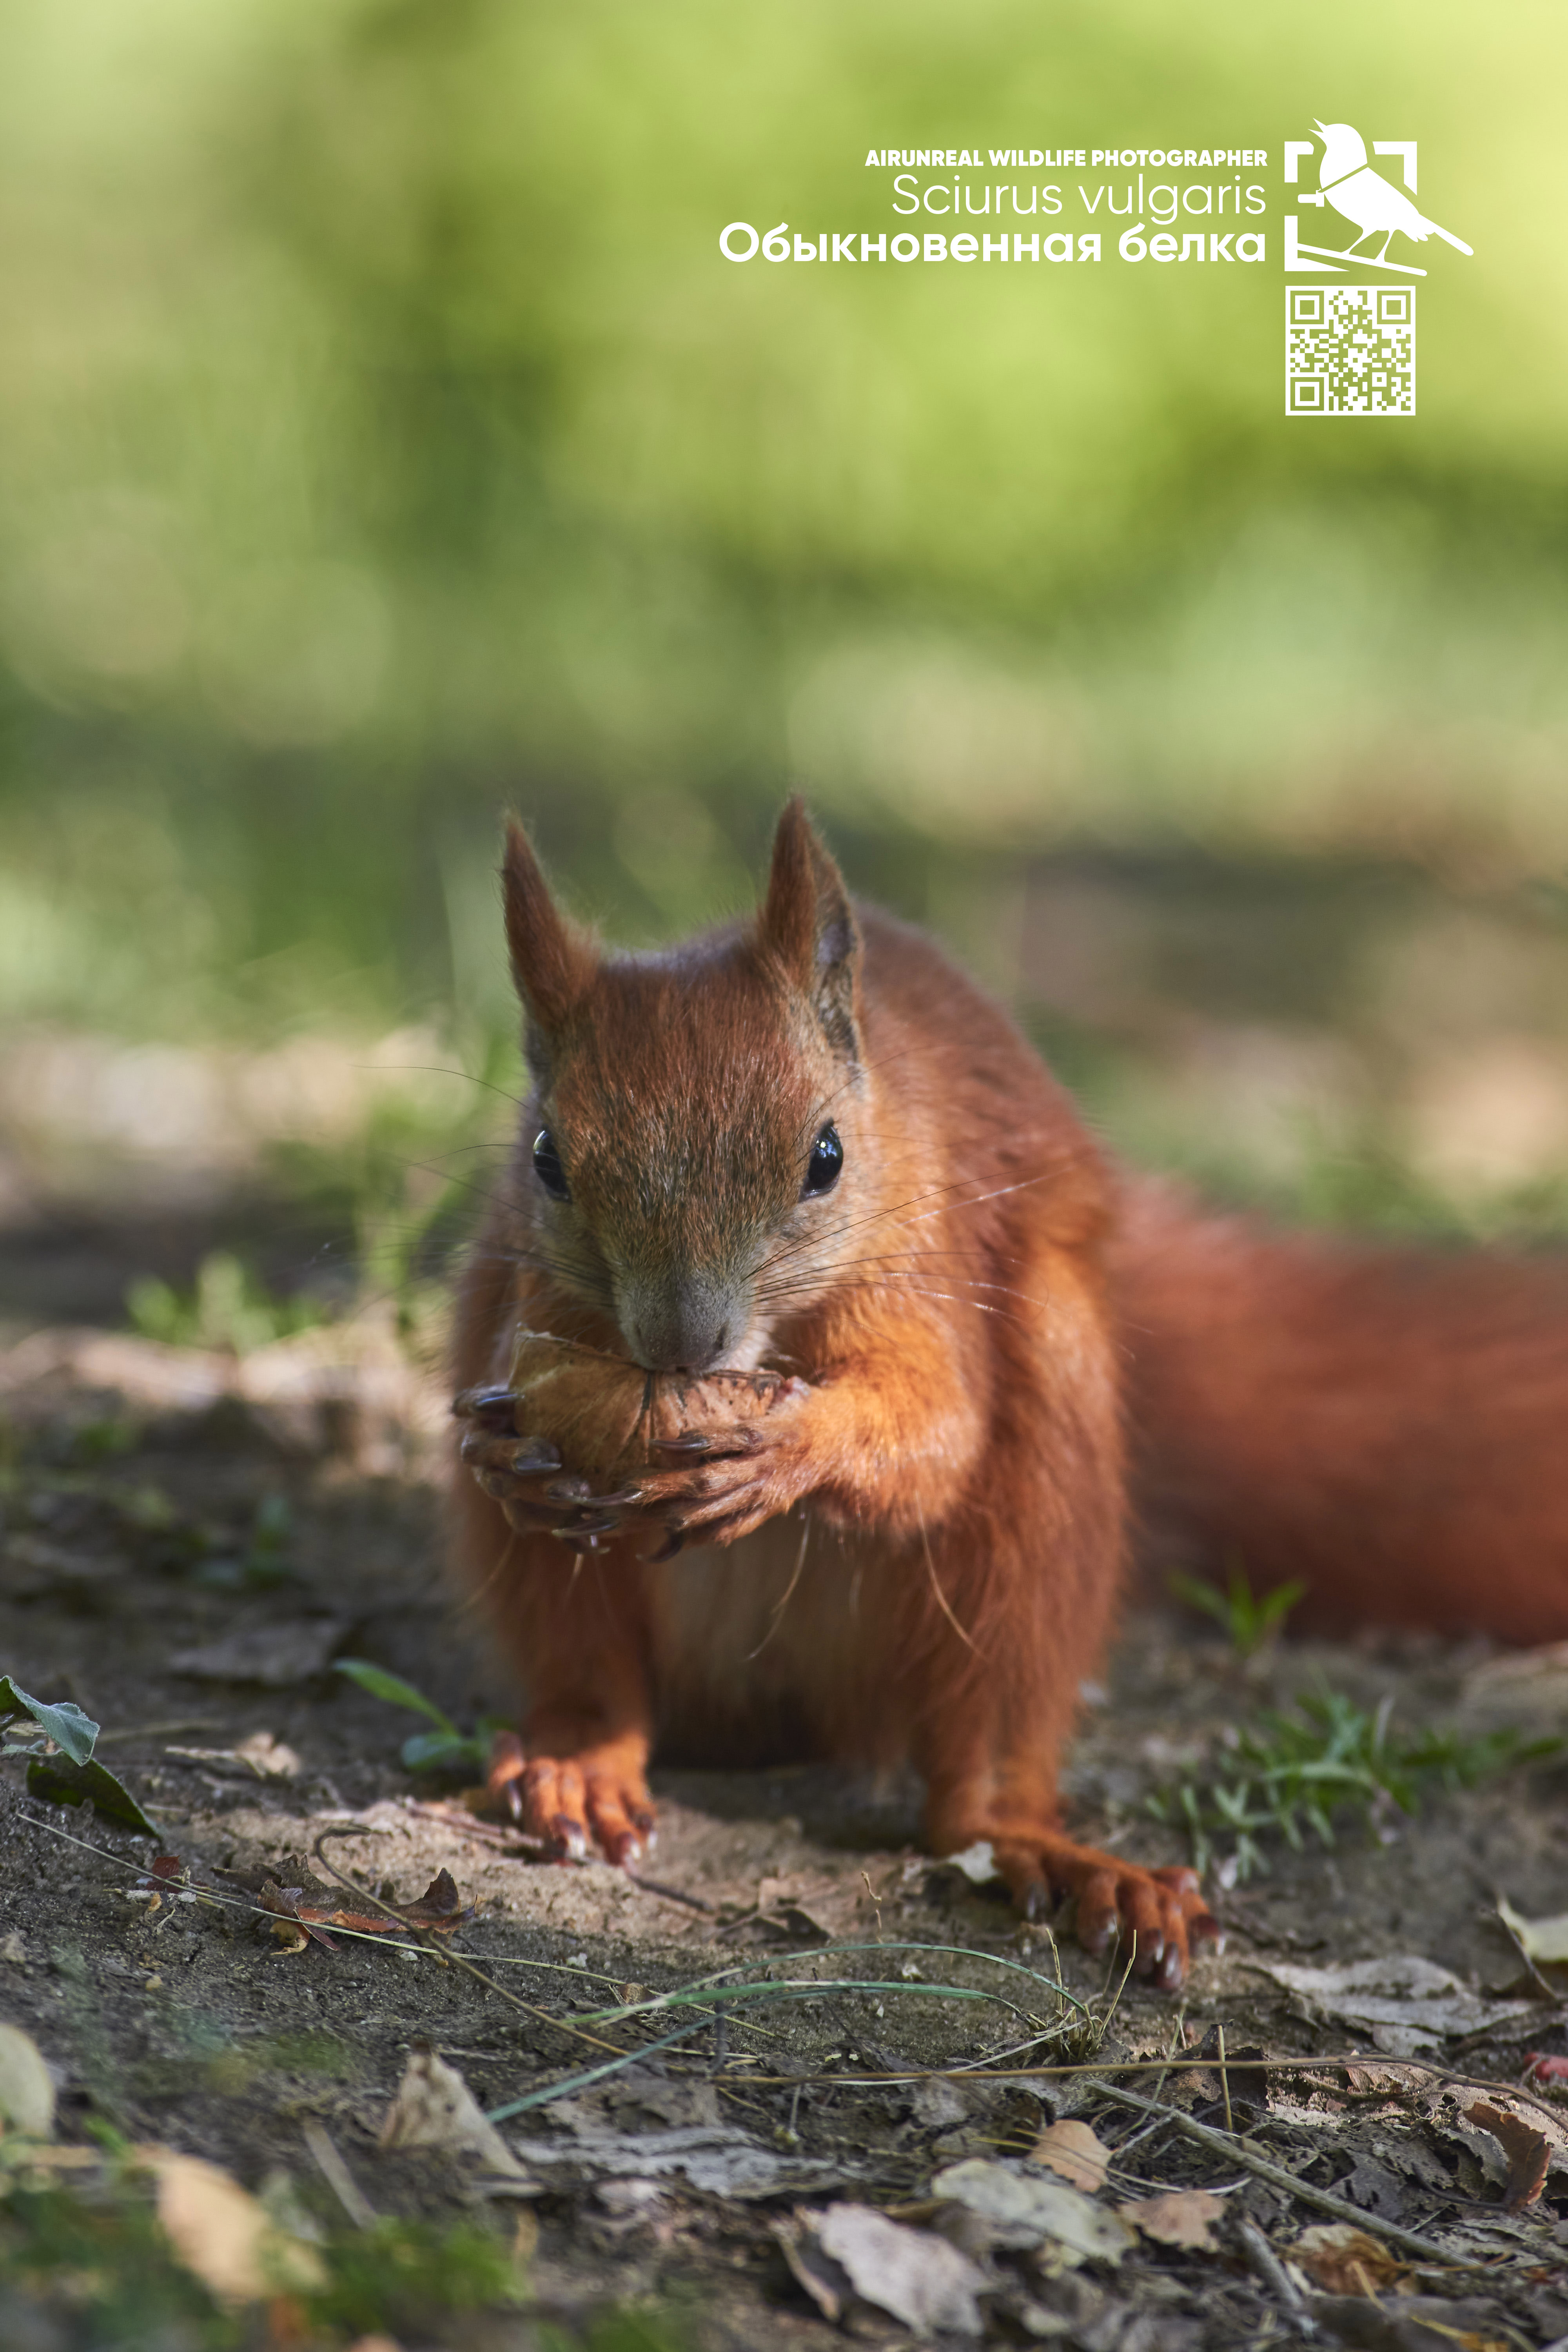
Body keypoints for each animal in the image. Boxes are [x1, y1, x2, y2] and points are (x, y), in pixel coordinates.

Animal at [446, 804, 1568, 1985]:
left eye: (826, 1158)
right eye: (546, 1158)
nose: (679, 1346)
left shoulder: (930, 1259)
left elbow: (940, 1433)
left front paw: (788, 1451)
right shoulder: (536, 1301)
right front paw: (509, 1454)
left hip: (1047, 1448)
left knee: (978, 1771)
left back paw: (1052, 1851)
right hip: (524, 1467)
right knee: (592, 1674)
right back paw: (578, 1765)